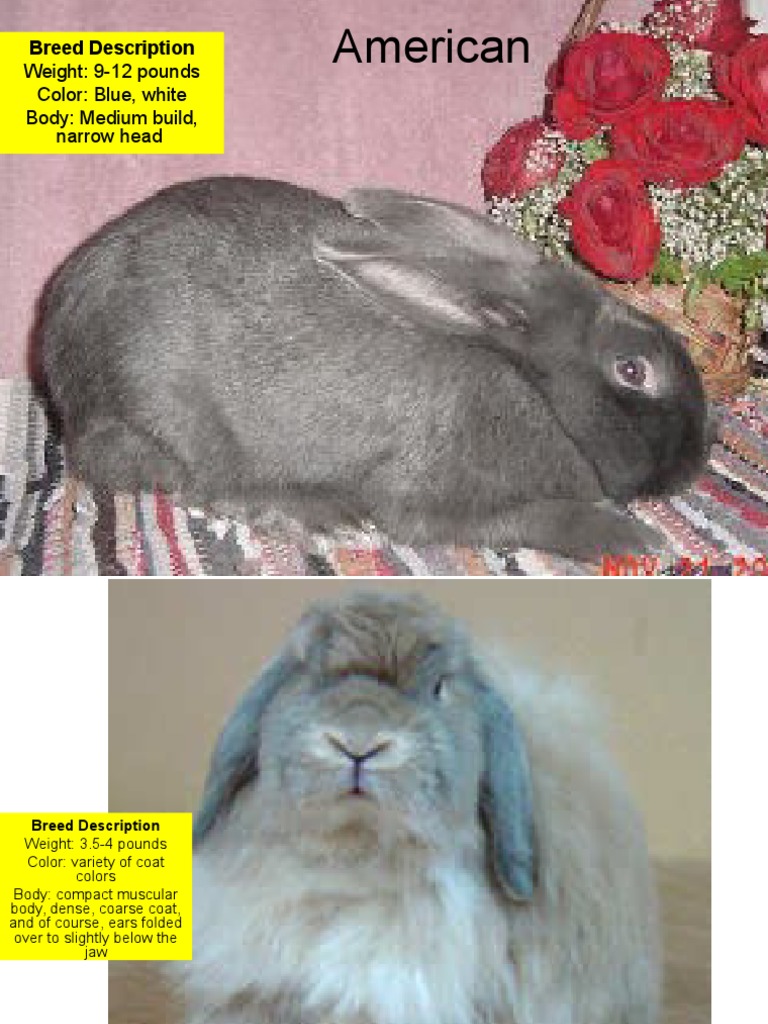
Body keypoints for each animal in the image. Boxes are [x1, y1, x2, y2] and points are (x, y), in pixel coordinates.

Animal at [38, 175, 710, 561]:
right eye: (633, 370)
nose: (697, 462)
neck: (528, 384)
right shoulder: (432, 500)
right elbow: (528, 519)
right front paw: (638, 541)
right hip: (168, 415)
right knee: (205, 484)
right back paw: (327, 519)